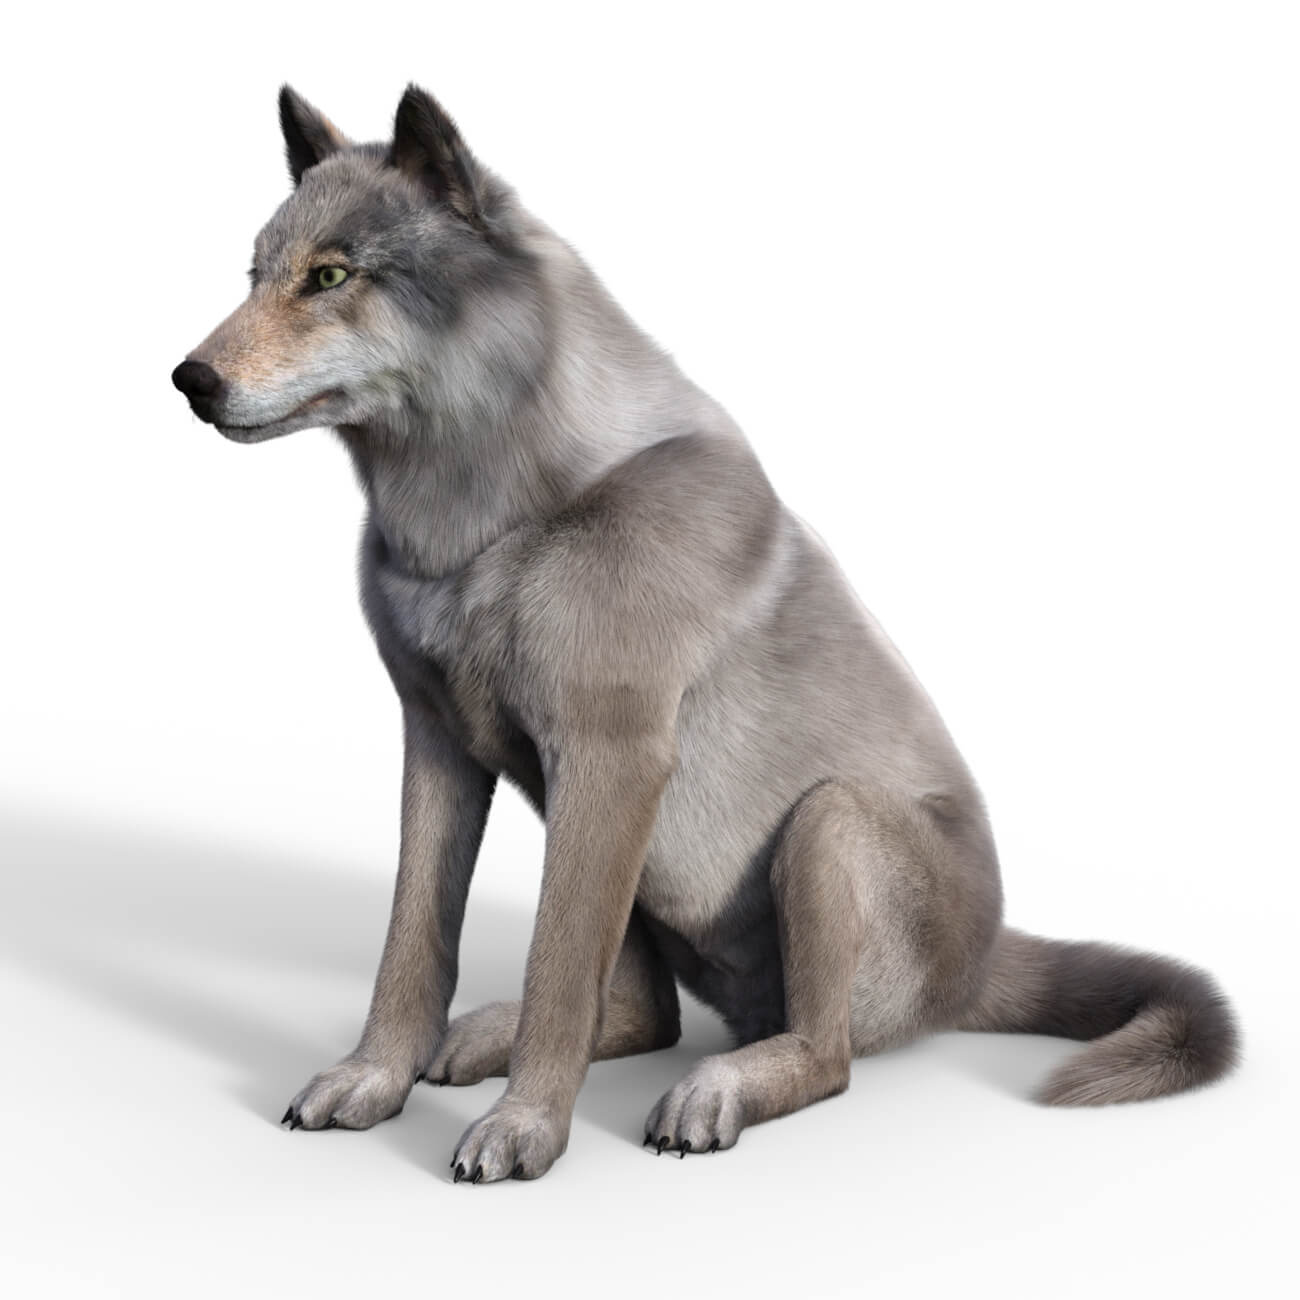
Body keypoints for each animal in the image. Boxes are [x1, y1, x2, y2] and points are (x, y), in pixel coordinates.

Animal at [172, 84, 1239, 1183]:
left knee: (819, 1055)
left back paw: (714, 1089)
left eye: (331, 276)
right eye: (256, 275)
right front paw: (375, 1077)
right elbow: (412, 944)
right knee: (652, 1014)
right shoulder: (440, 748)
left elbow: (558, 965)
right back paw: (485, 1039)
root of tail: (985, 959)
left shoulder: (613, 758)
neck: (490, 528)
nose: (189, 379)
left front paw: (524, 1131)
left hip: (821, 822)